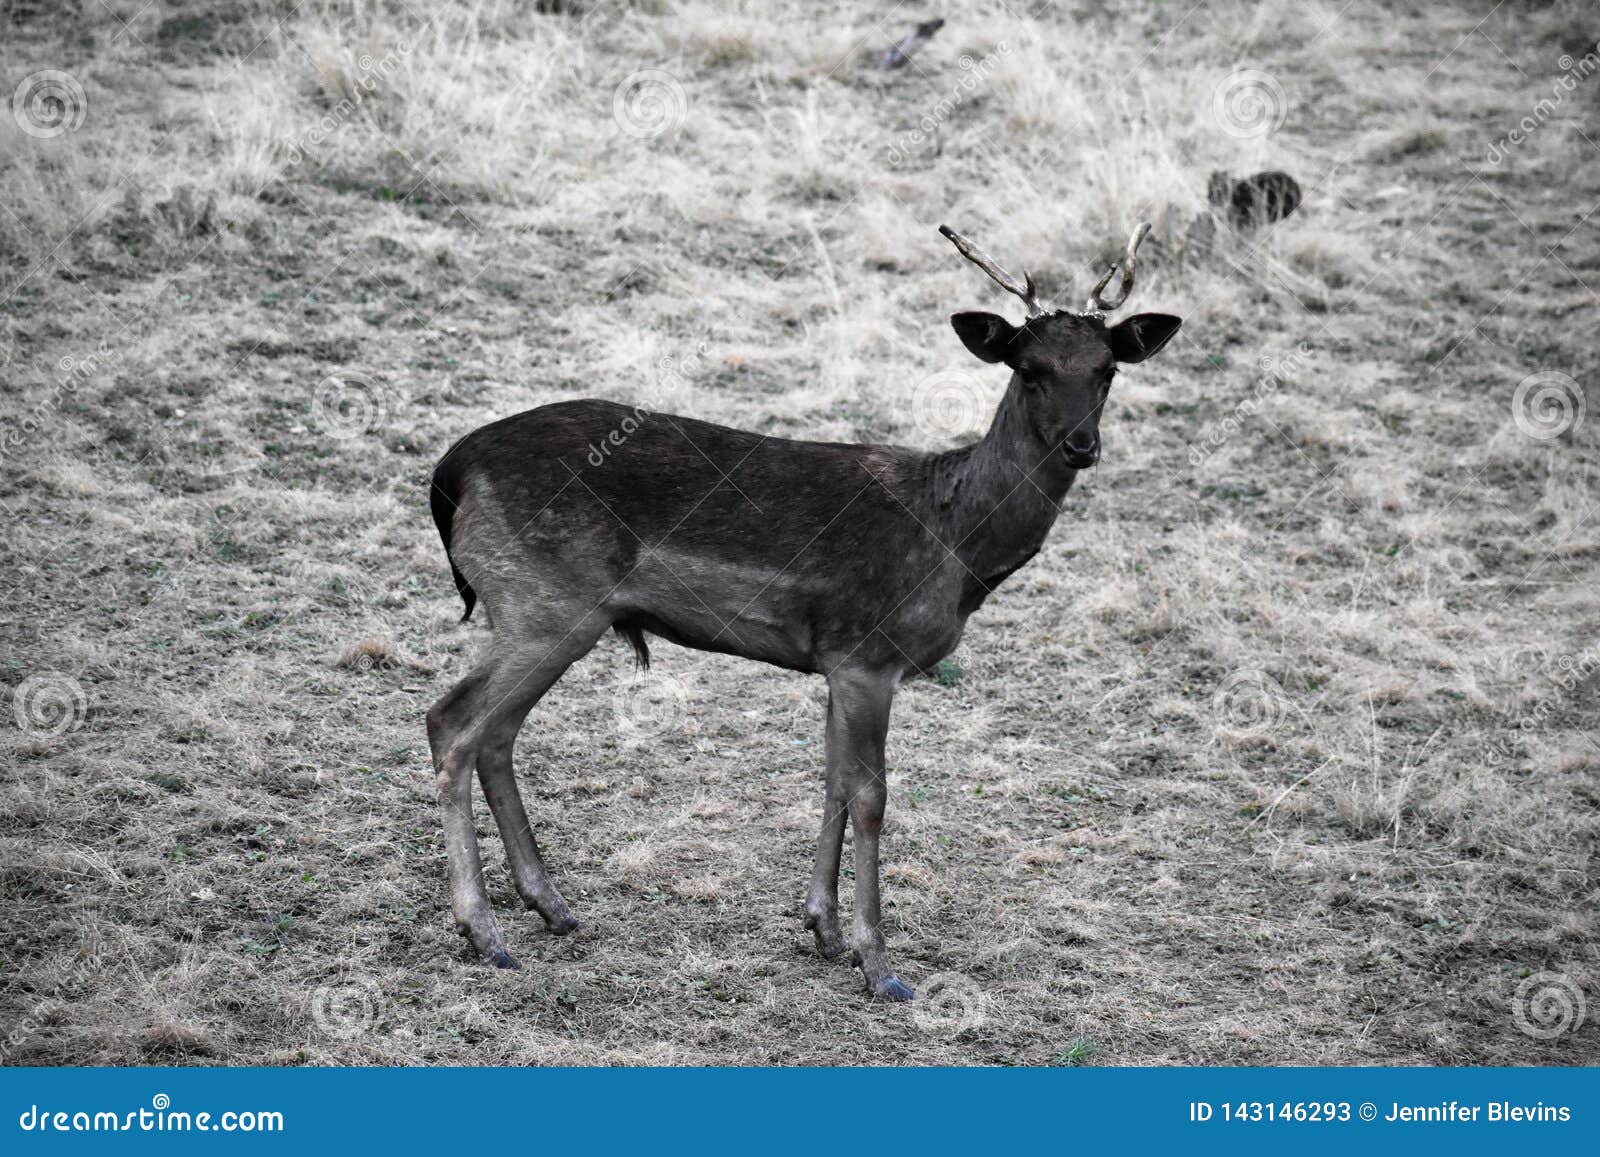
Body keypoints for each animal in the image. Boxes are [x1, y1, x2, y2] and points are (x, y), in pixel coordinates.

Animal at [426, 222, 1180, 1000]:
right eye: (1029, 369)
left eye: (1106, 370)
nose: (1080, 444)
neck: (959, 543)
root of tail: (448, 473)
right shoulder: (868, 654)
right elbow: (871, 794)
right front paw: (879, 963)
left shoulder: (835, 664)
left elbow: (833, 779)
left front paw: (823, 929)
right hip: (543, 604)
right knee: (452, 722)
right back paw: (483, 931)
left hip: (547, 615)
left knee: (496, 733)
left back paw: (550, 905)